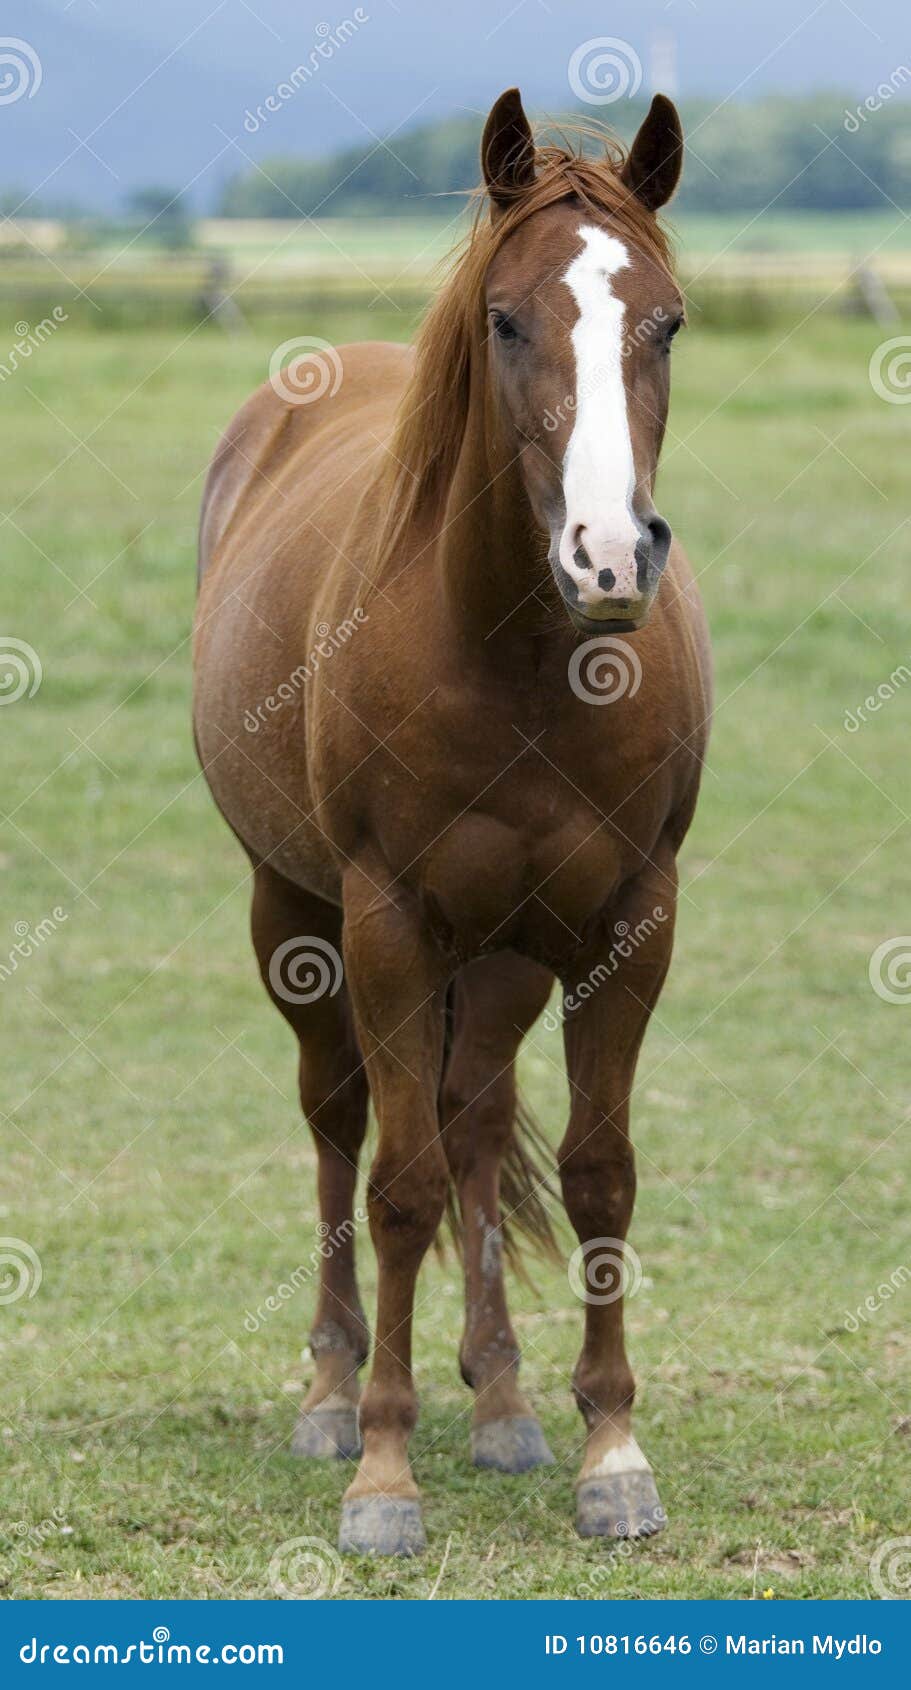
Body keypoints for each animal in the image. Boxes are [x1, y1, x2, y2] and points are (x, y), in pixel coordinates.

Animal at [193, 87, 712, 1557]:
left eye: (663, 320)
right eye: (504, 320)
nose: (608, 559)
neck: (518, 654)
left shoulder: (627, 920)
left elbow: (595, 1172)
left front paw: (608, 1447)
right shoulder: (383, 921)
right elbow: (398, 1185)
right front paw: (380, 1469)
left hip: (500, 954)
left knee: (474, 1116)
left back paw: (500, 1398)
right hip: (296, 918)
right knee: (339, 1121)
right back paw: (331, 1388)